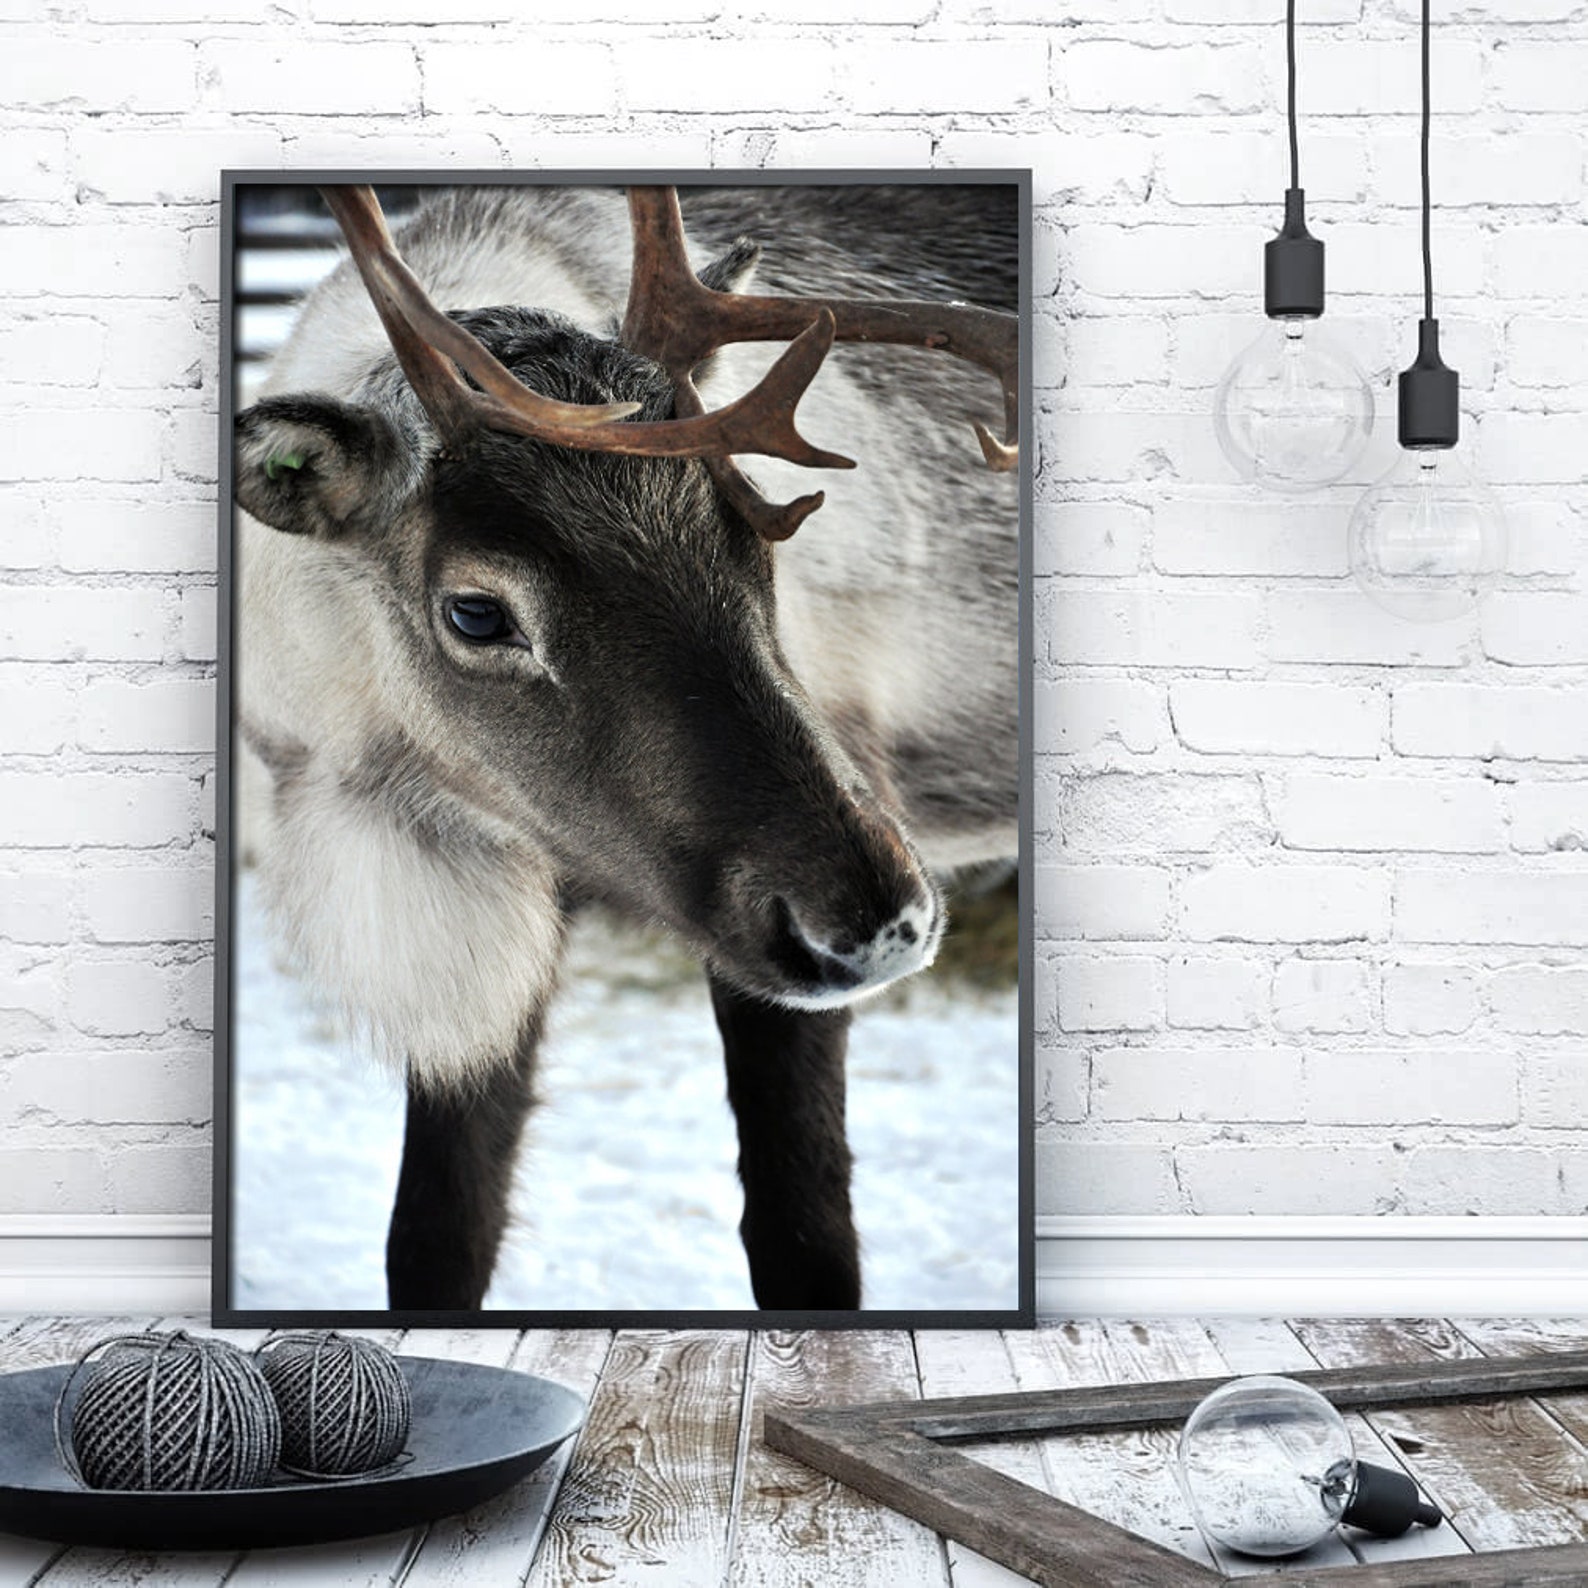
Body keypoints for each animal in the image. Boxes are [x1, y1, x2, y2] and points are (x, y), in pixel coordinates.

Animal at [232, 181, 1019, 1313]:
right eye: (477, 612)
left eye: (760, 543)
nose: (882, 929)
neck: (363, 774)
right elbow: (437, 1236)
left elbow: (805, 1242)